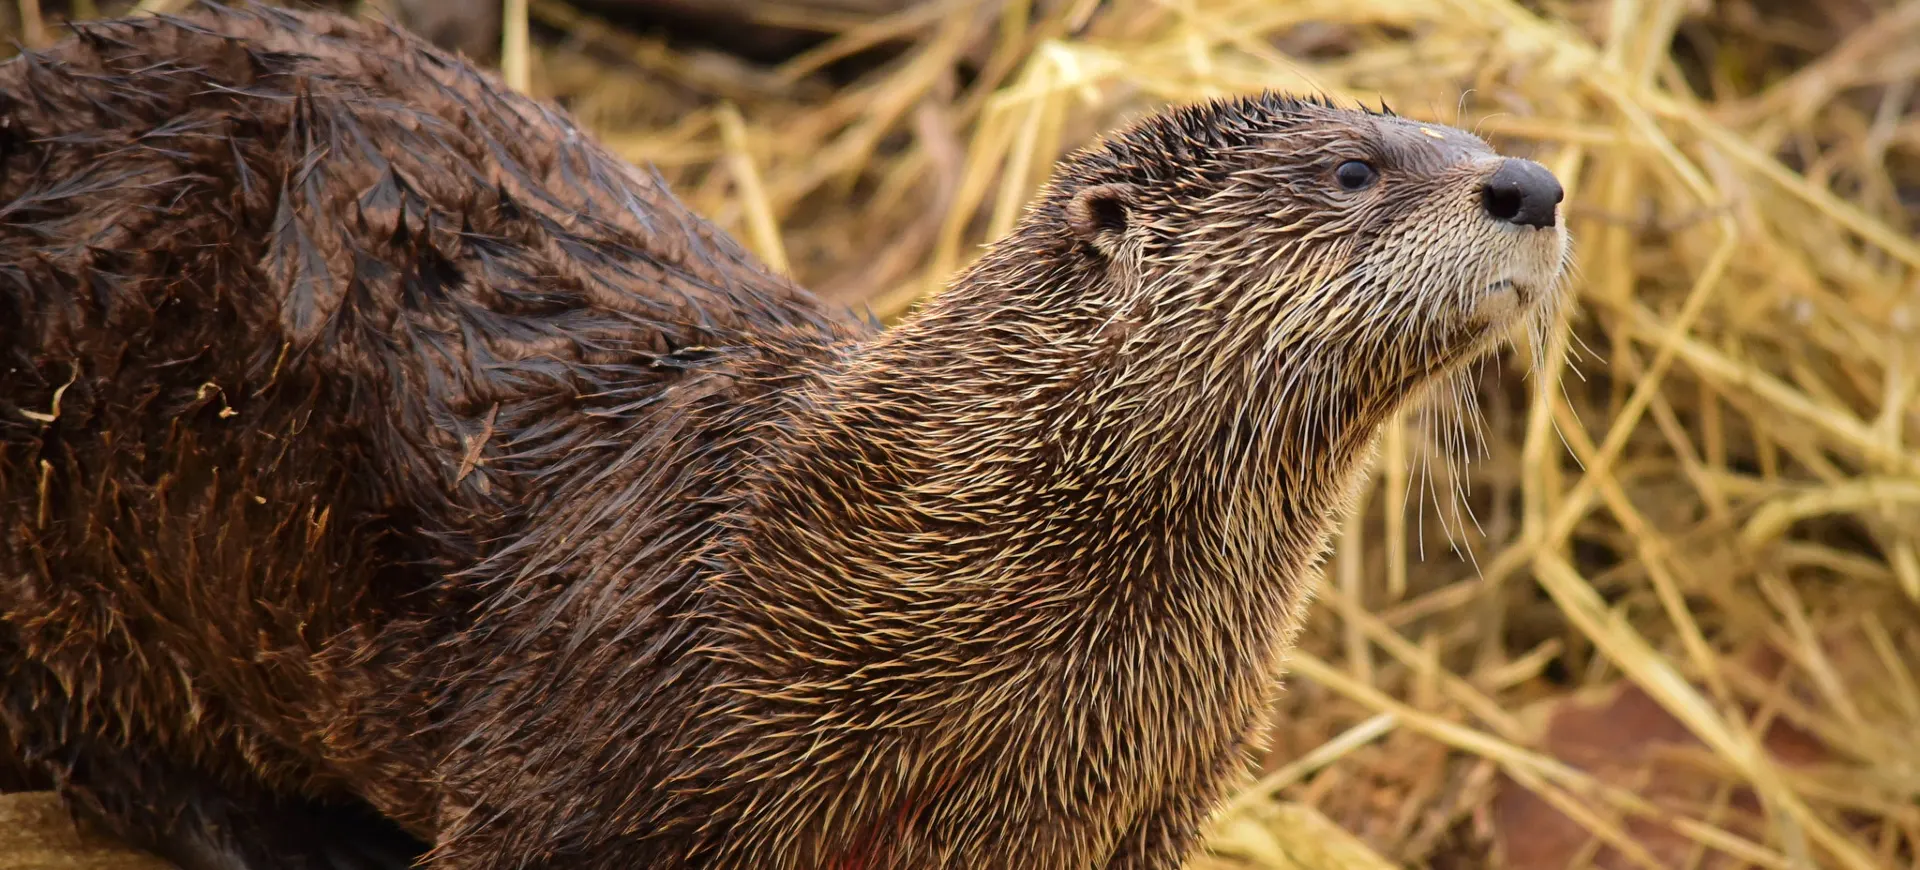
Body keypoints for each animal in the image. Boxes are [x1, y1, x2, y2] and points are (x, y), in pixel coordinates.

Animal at [0, 4, 1570, 869]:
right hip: (76, 504)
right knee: (100, 734)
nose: (1535, 183)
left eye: (1468, 132)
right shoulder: (573, 778)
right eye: (1356, 168)